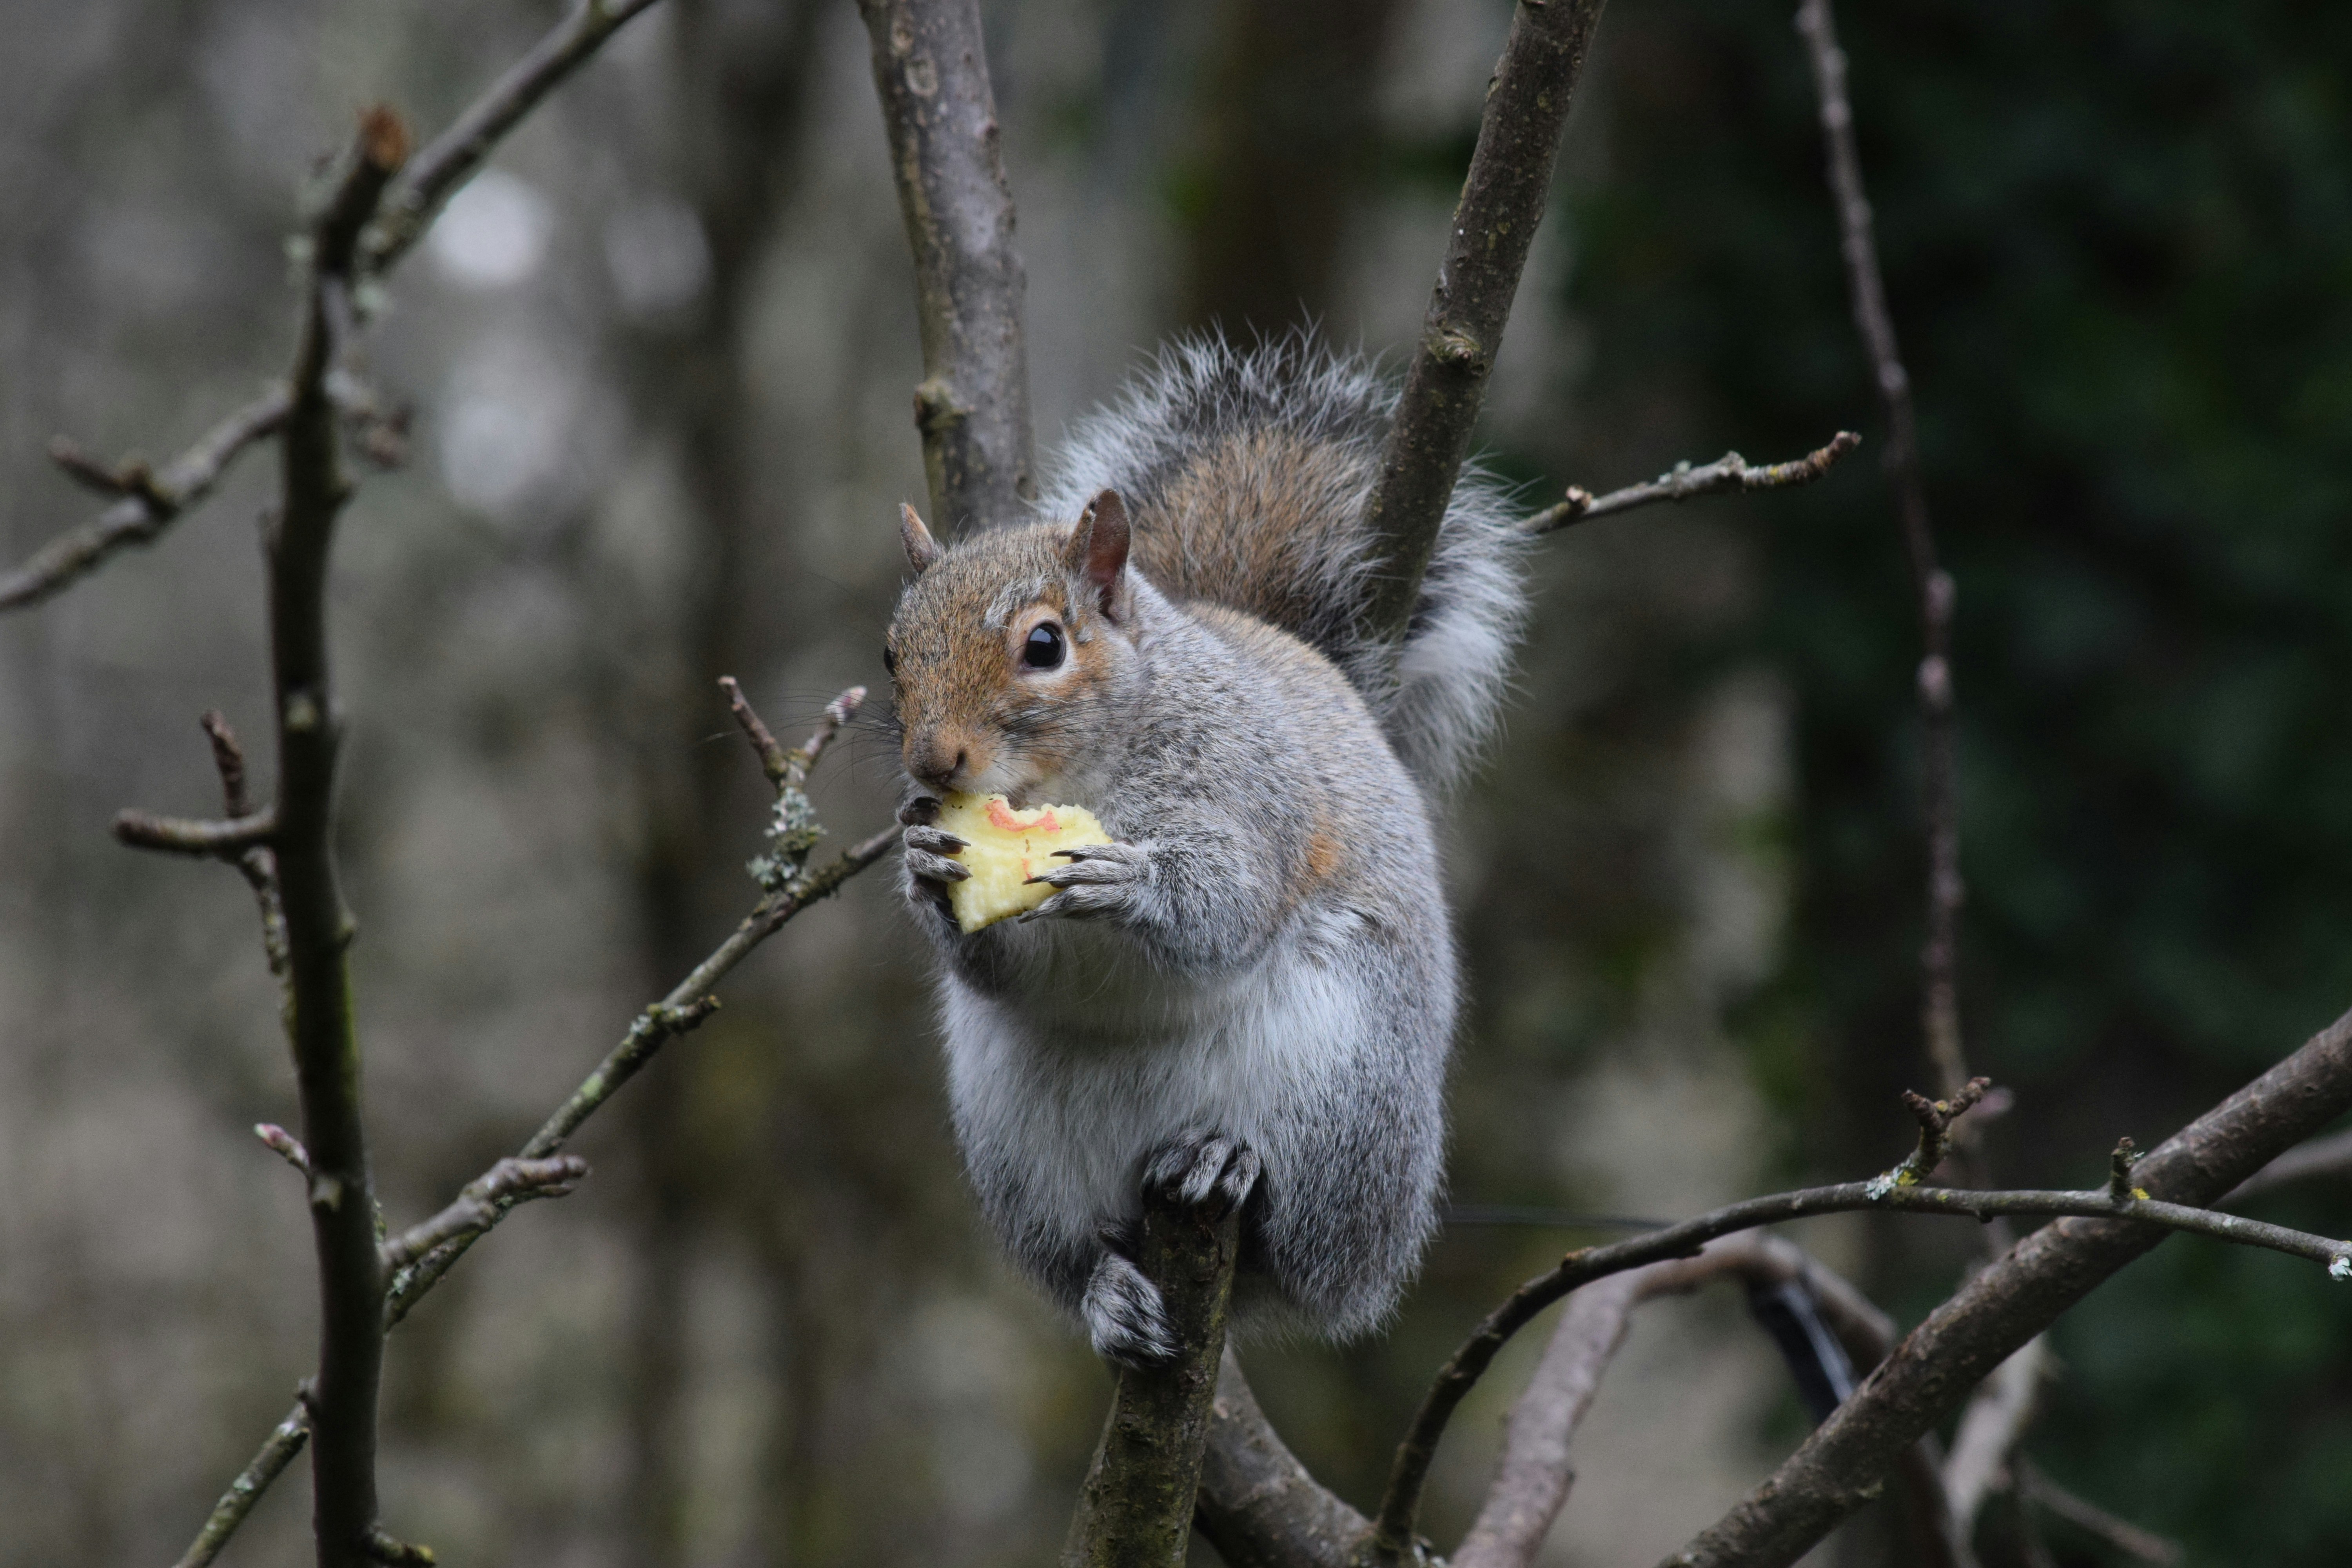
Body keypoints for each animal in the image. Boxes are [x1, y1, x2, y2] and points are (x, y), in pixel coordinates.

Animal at [885, 335, 1526, 1363]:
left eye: (1044, 644)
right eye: (891, 656)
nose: (932, 761)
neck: (1083, 771)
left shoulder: (1253, 790)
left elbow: (1230, 907)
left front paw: (1131, 879)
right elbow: (994, 966)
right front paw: (929, 872)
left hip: (1343, 1087)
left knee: (1300, 1245)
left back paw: (1230, 1161)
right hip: (1018, 1152)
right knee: (1084, 1248)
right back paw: (1110, 1291)